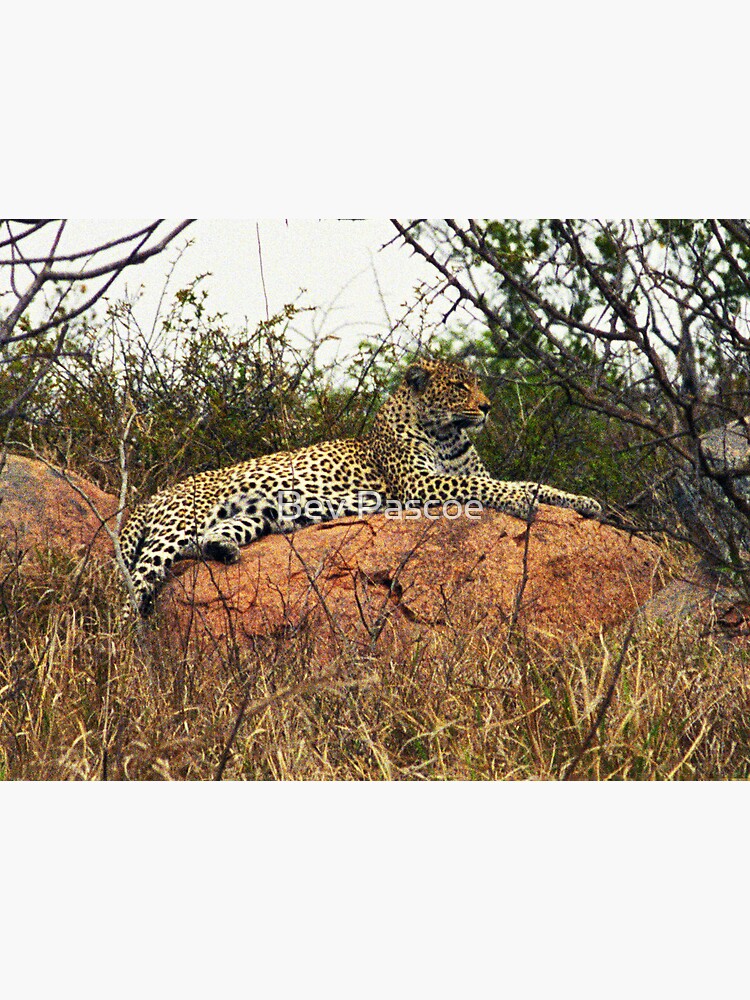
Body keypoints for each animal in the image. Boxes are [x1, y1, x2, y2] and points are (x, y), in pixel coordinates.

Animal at [119, 358, 602, 616]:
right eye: (459, 386)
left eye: (477, 383)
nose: (487, 407)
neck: (448, 436)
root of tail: (155, 496)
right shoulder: (420, 485)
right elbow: (493, 488)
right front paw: (522, 500)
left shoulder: (467, 473)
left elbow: (523, 481)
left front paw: (583, 501)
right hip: (174, 528)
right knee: (134, 584)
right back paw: (125, 643)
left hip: (257, 515)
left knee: (209, 540)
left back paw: (224, 551)